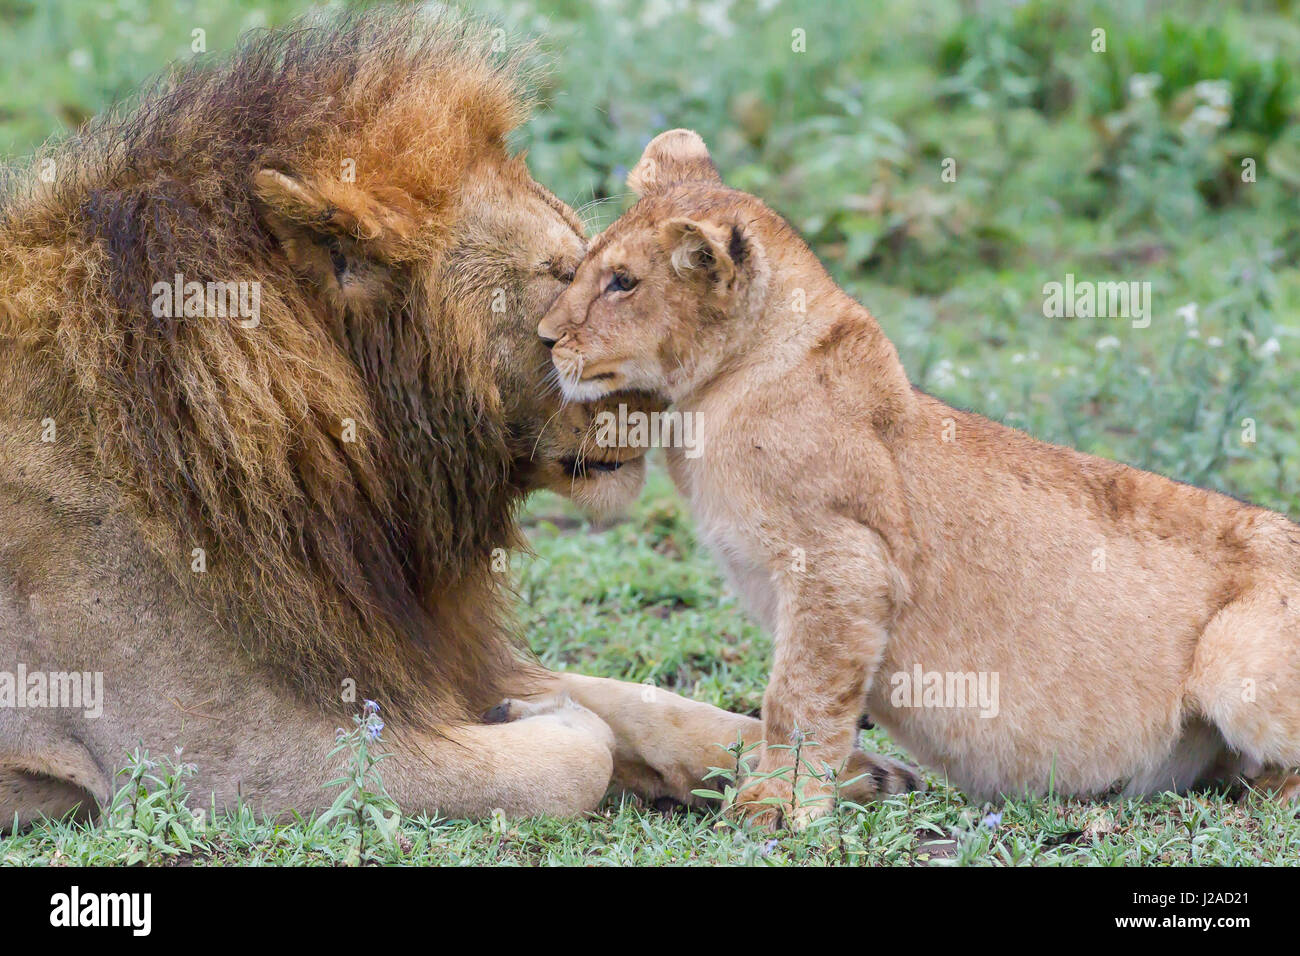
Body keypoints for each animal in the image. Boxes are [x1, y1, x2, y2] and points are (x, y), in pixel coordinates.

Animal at [0, 12, 919, 831]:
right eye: (559, 282)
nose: (669, 406)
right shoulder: (215, 762)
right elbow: (572, 753)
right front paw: (535, 717)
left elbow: (635, 697)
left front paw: (831, 766)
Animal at [539, 128, 1300, 826]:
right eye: (584, 267)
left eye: (622, 282)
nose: (544, 339)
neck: (718, 391)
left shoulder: (844, 560)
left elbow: (799, 696)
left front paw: (779, 804)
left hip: (1232, 654)